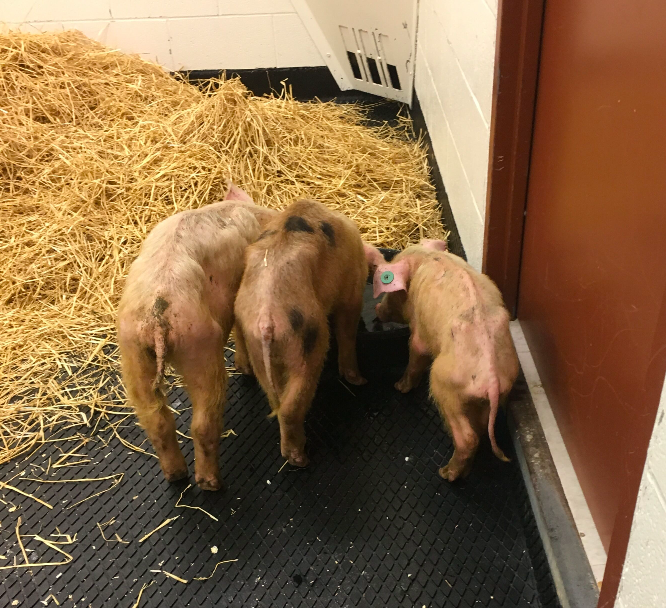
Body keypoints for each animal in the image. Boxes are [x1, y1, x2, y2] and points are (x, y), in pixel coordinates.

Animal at [116, 182, 276, 490]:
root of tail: (158, 319)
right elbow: (240, 329)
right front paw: (246, 370)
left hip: (133, 352)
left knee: (155, 419)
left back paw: (177, 476)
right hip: (199, 347)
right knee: (203, 421)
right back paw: (211, 483)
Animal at [234, 199, 382, 467]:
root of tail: (266, 320)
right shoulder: (351, 289)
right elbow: (347, 329)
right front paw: (360, 380)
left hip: (256, 347)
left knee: (275, 399)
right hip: (307, 342)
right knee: (292, 404)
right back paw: (301, 460)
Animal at [370, 239, 519, 481]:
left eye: (393, 290)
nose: (376, 309)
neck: (425, 257)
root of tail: (493, 380)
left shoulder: (419, 333)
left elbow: (416, 353)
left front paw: (399, 387)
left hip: (444, 386)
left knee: (468, 437)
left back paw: (446, 474)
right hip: (485, 398)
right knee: (480, 430)